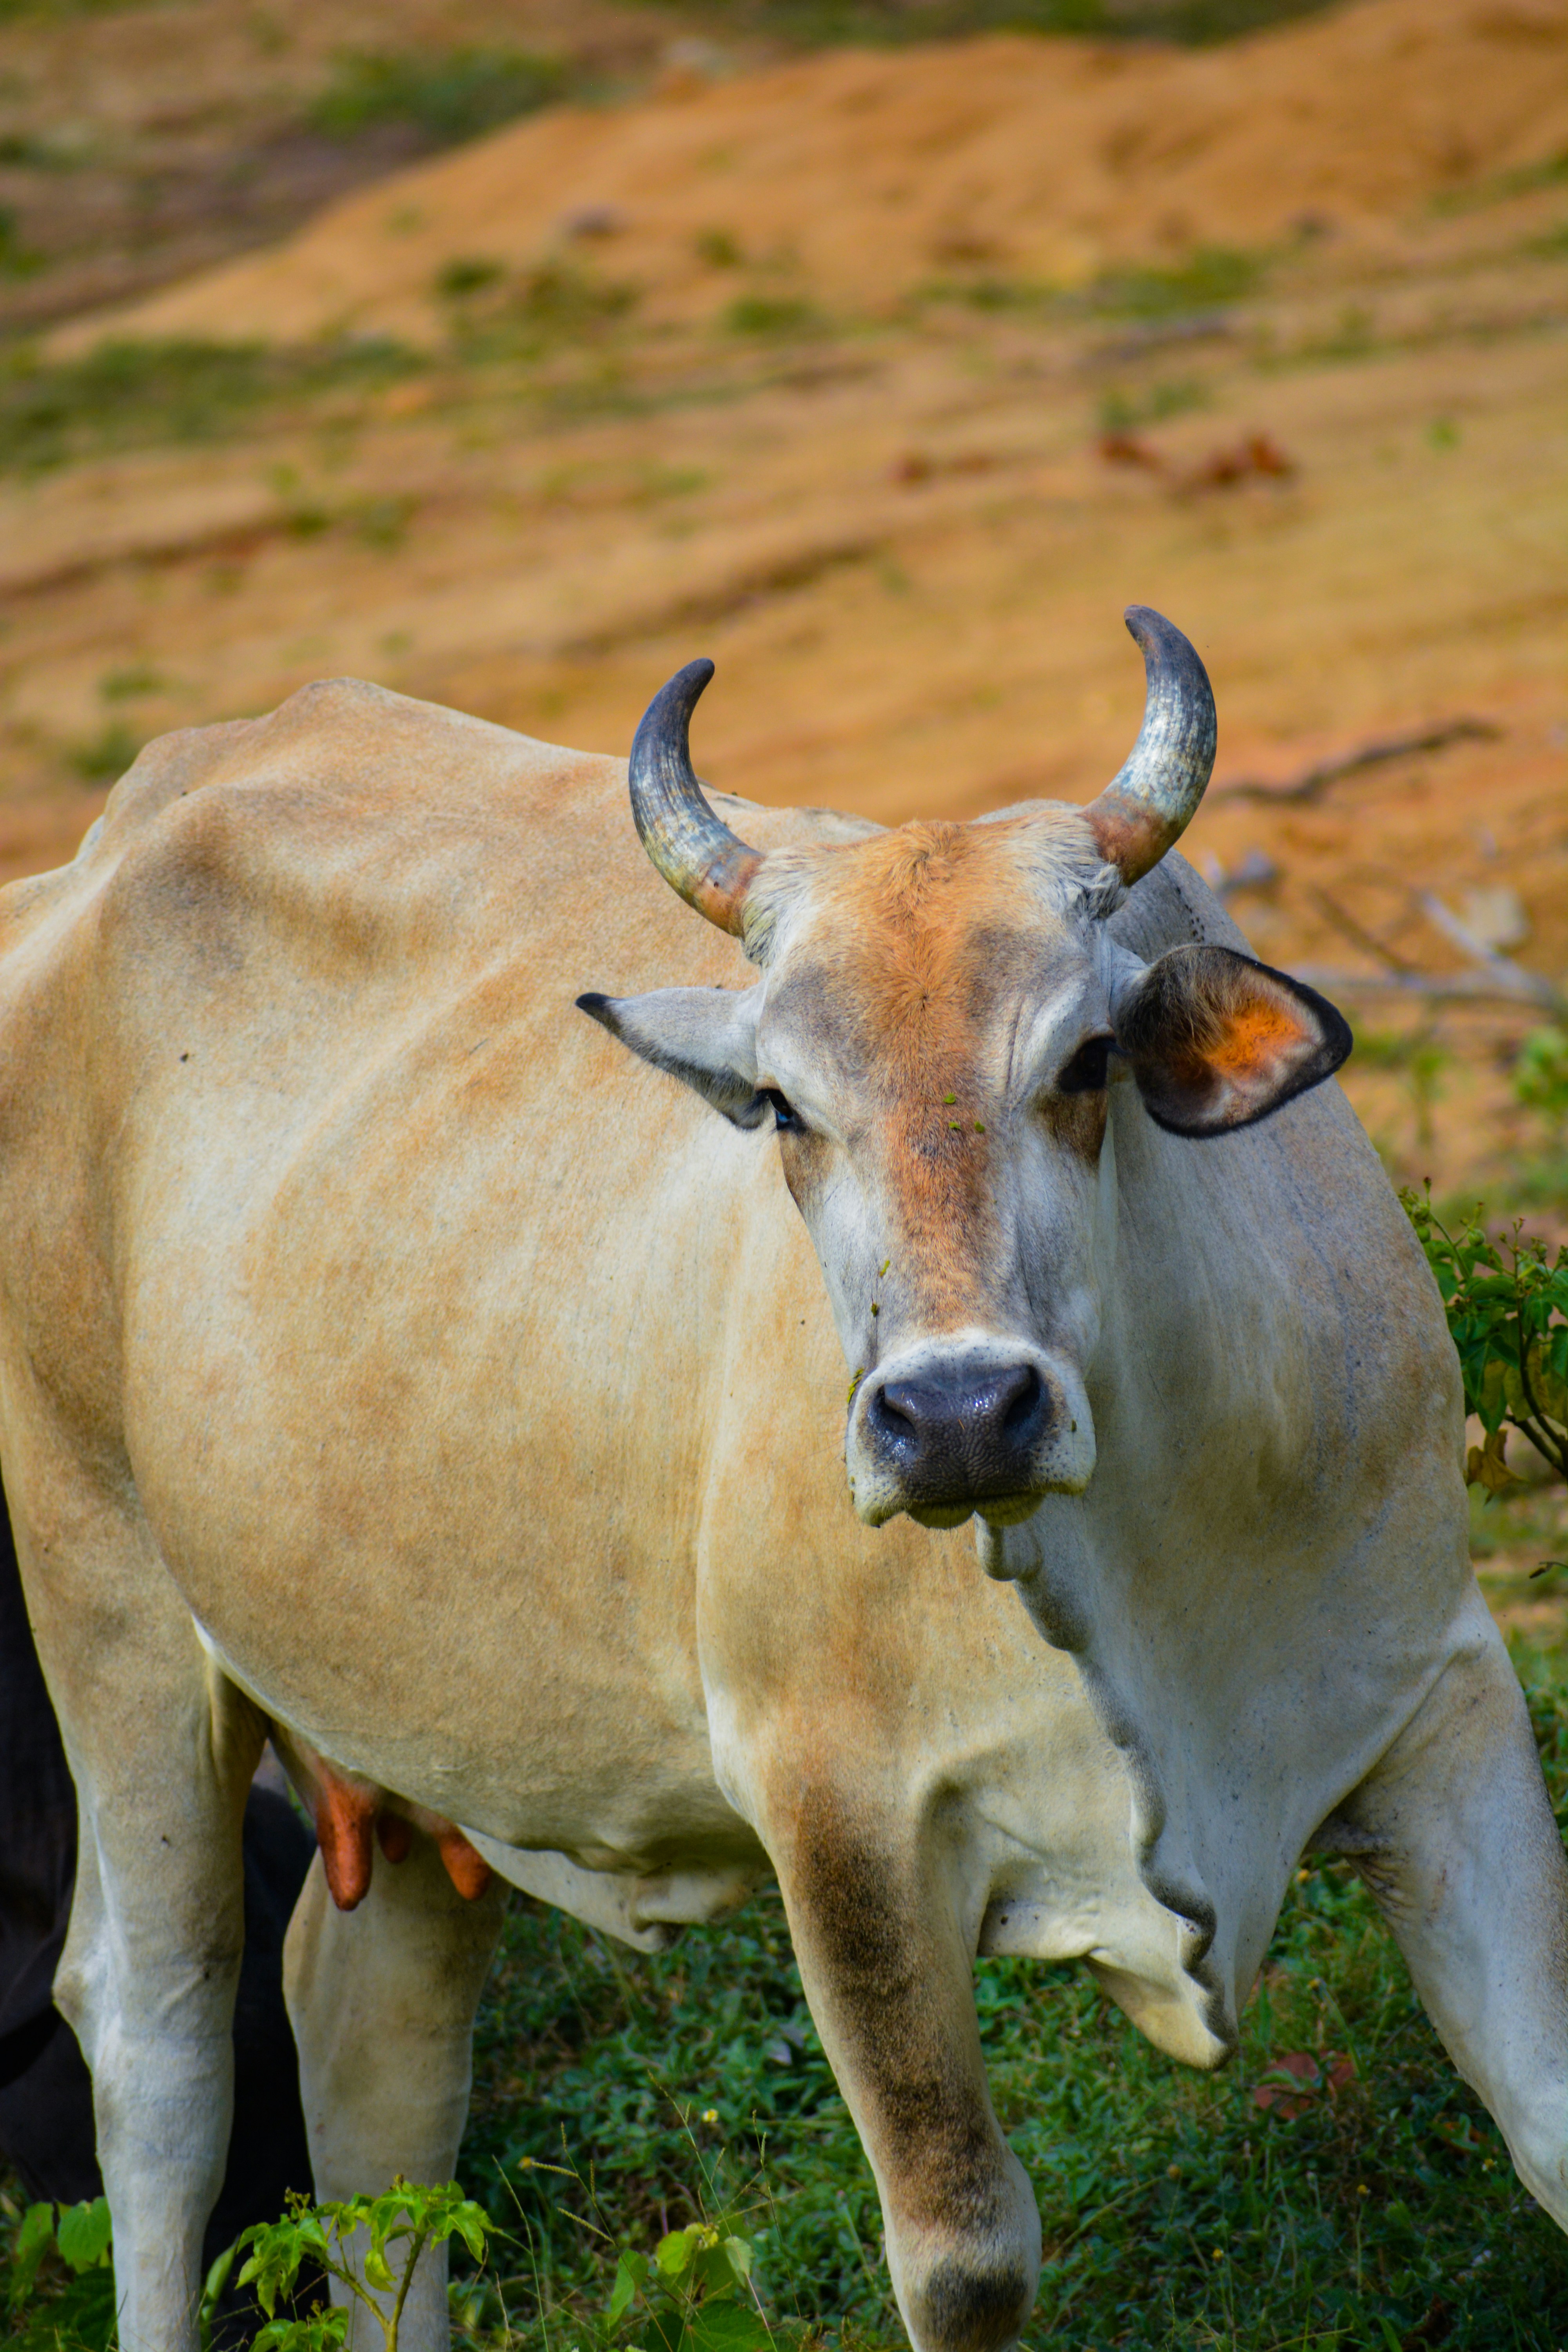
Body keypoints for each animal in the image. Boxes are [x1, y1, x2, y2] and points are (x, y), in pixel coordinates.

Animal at [0, 608, 1563, 2352]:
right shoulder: (840, 1816)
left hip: (406, 1739)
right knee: (160, 2047)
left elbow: (1551, 2125)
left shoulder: (1440, 1698)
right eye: (779, 1104)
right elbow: (964, 2260)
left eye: (1088, 1059)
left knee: (367, 2058)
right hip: (108, 1607)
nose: (957, 1415)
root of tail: (93, 852)